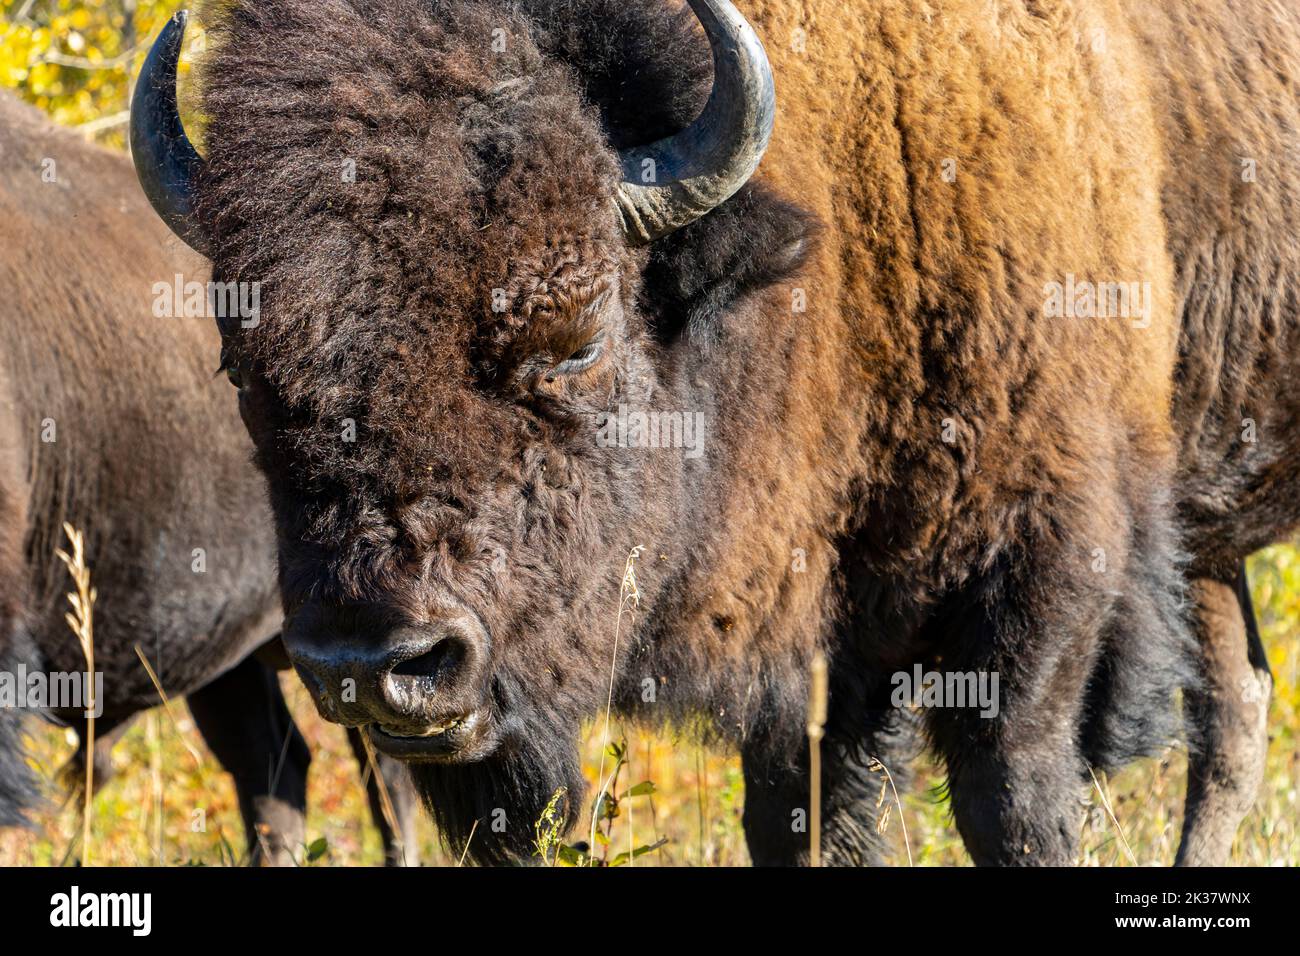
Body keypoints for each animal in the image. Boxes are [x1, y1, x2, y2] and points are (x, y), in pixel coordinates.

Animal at [130, 0, 1291, 865]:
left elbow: (1013, 801)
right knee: (1236, 709)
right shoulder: (820, 647)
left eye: (576, 337)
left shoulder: (1044, 566)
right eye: (243, 364)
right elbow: (805, 819)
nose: (376, 662)